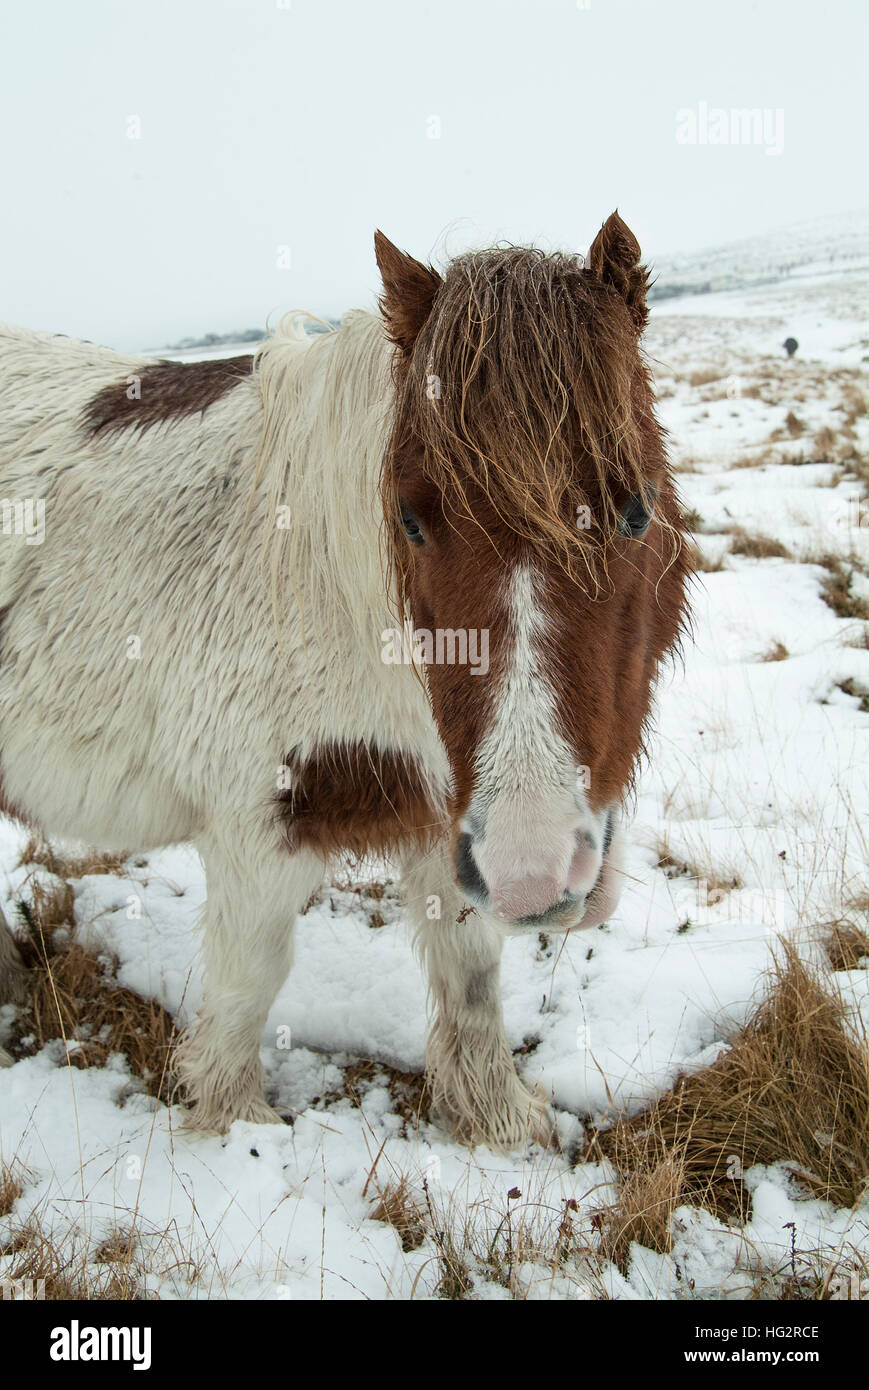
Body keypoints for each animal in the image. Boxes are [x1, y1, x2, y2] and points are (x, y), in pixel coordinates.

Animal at [0, 212, 690, 1148]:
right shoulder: (260, 827)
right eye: (409, 519)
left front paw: (498, 1122)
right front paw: (235, 1137)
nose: (536, 873)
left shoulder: (448, 820)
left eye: (636, 510)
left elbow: (471, 977)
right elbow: (247, 992)